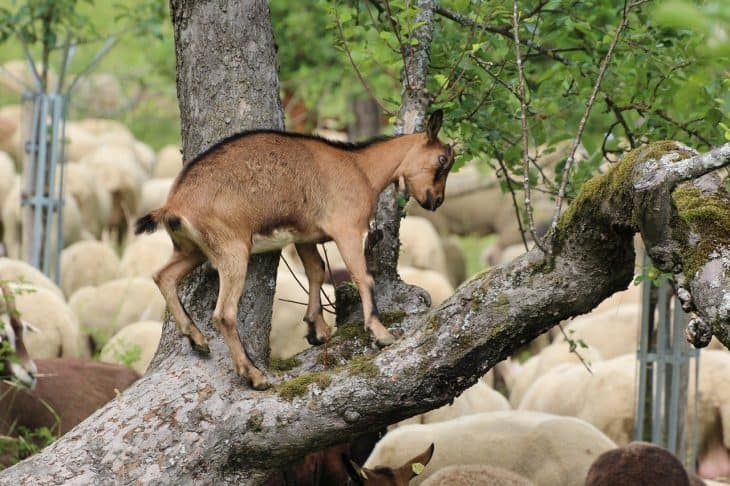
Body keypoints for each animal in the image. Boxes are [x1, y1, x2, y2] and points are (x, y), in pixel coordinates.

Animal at [135, 111, 454, 389]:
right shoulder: (347, 230)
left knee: (163, 275)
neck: (361, 169)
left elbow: (316, 271)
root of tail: (173, 205)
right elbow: (363, 277)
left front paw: (317, 329)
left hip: (192, 250)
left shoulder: (305, 237)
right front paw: (380, 333)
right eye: (442, 160)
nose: (435, 200)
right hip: (232, 249)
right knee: (224, 313)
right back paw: (254, 375)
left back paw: (197, 339)